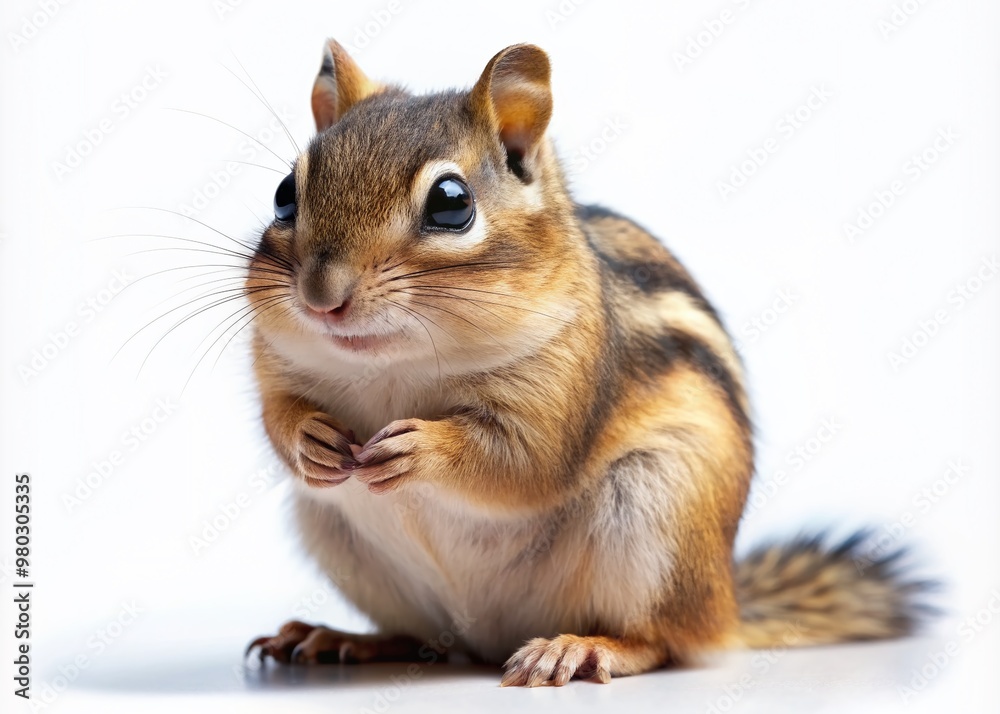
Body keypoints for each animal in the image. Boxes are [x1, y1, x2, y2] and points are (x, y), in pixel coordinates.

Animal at [243, 39, 929, 686]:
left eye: (451, 203)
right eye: (283, 195)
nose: (321, 297)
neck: (392, 365)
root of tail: (726, 603)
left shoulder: (568, 382)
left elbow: (524, 462)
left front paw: (421, 448)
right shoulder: (275, 361)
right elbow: (278, 418)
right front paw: (310, 439)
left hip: (659, 511)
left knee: (663, 641)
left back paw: (580, 648)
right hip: (337, 535)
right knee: (426, 641)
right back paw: (340, 639)